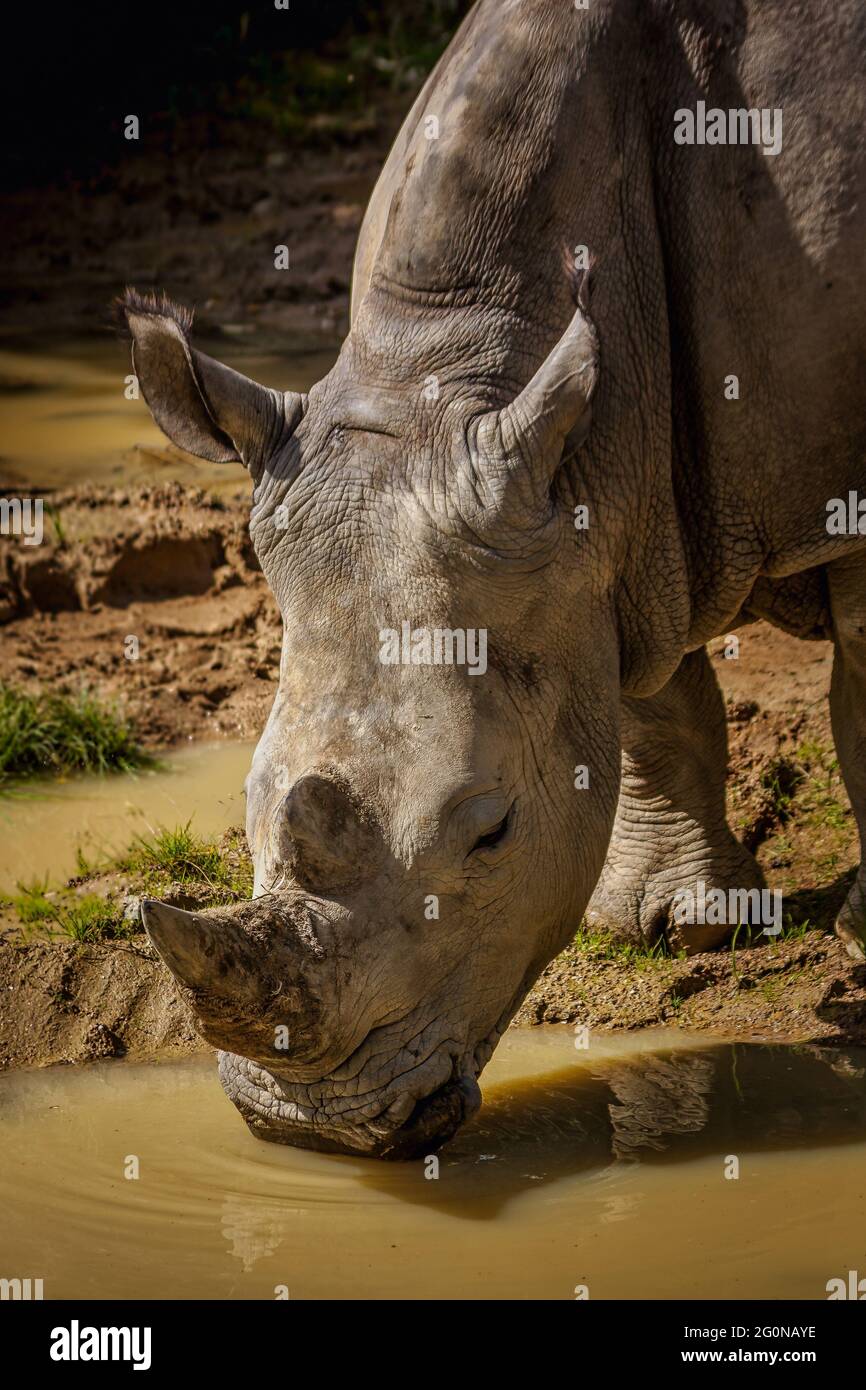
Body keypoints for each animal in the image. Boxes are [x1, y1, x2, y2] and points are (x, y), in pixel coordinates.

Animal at [126, 0, 866, 1157]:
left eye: (492, 833)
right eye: (245, 804)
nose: (311, 1130)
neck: (455, 350)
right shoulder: (591, 514)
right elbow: (647, 699)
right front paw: (682, 926)